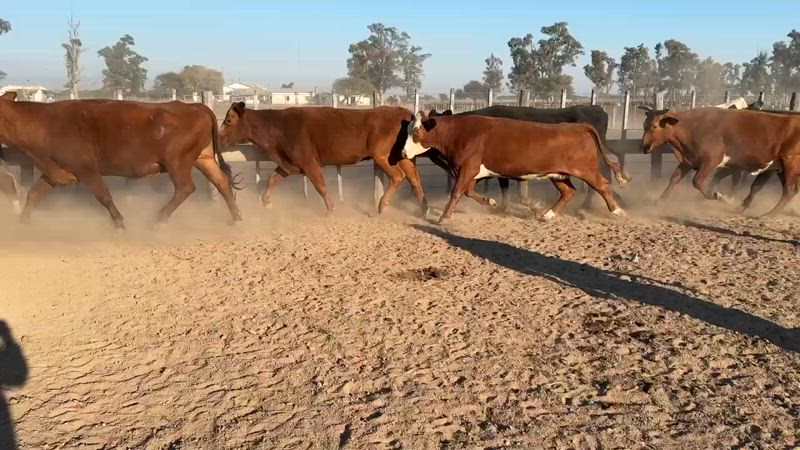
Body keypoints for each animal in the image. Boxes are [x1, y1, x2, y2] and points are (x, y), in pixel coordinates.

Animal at [0, 92, 242, 229]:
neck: (42, 123)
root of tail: (195, 106)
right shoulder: (53, 171)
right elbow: (34, 194)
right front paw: (22, 223)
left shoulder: (86, 169)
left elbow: (103, 195)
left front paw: (119, 223)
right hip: (204, 158)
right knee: (221, 182)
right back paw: (237, 218)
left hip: (177, 162)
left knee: (185, 188)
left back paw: (158, 219)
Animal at [218, 103, 428, 215]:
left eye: (228, 120)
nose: (218, 139)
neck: (279, 126)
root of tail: (402, 111)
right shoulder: (290, 164)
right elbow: (272, 178)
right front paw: (266, 201)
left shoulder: (309, 163)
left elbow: (321, 186)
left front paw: (330, 209)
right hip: (401, 156)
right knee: (414, 177)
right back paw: (423, 208)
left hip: (382, 155)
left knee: (398, 176)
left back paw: (382, 205)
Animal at [402, 111, 630, 223]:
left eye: (417, 132)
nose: (403, 153)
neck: (459, 132)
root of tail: (580, 126)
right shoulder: (472, 171)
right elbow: (468, 191)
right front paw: (491, 201)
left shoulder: (467, 168)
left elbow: (457, 192)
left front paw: (443, 217)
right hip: (558, 174)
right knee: (568, 192)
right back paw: (547, 215)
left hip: (586, 170)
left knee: (602, 185)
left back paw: (618, 211)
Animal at [640, 106, 800, 216]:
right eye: (644, 125)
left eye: (654, 126)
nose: (644, 147)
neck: (692, 127)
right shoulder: (688, 161)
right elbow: (674, 179)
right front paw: (659, 201)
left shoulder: (711, 161)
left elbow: (698, 182)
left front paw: (720, 196)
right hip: (778, 168)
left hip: (790, 163)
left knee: (789, 190)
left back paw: (769, 214)